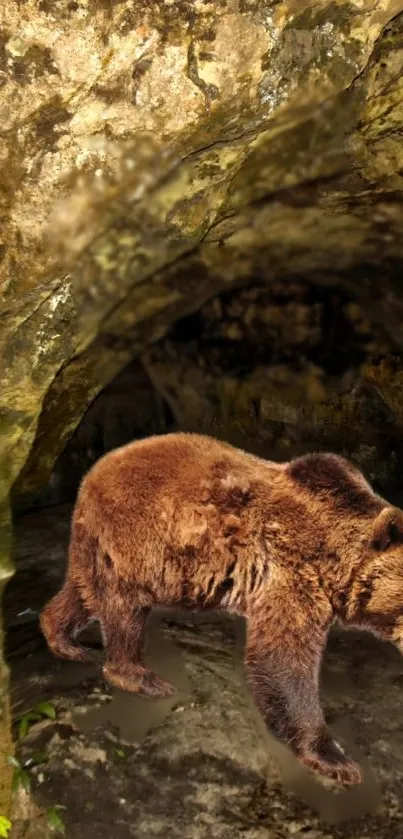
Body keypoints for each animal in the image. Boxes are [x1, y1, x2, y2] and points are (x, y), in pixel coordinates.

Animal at [40, 432, 403, 787]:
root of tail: (93, 473)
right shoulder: (290, 570)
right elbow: (284, 657)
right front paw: (336, 759)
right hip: (135, 537)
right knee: (124, 606)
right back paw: (140, 677)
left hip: (99, 543)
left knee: (84, 590)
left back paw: (62, 639)